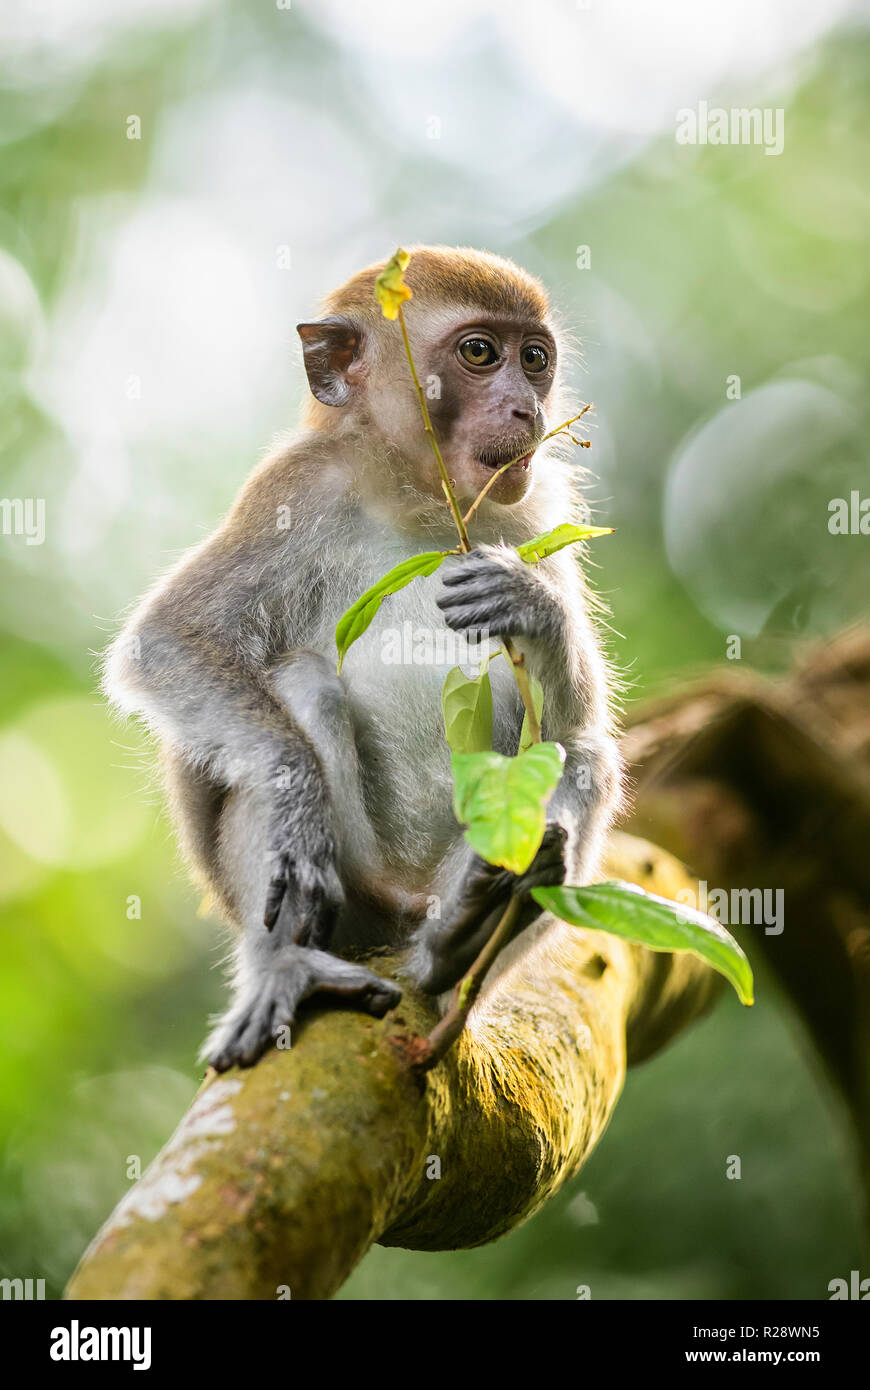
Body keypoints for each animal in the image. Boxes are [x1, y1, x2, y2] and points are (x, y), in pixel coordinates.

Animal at [103, 245, 622, 1072]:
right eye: (481, 353)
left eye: (535, 360)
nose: (528, 412)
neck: (421, 496)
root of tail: (404, 903)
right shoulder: (298, 485)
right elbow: (168, 642)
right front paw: (296, 813)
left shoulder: (539, 511)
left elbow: (576, 719)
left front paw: (535, 603)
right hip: (355, 898)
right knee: (299, 689)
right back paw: (290, 960)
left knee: (582, 756)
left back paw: (455, 941)